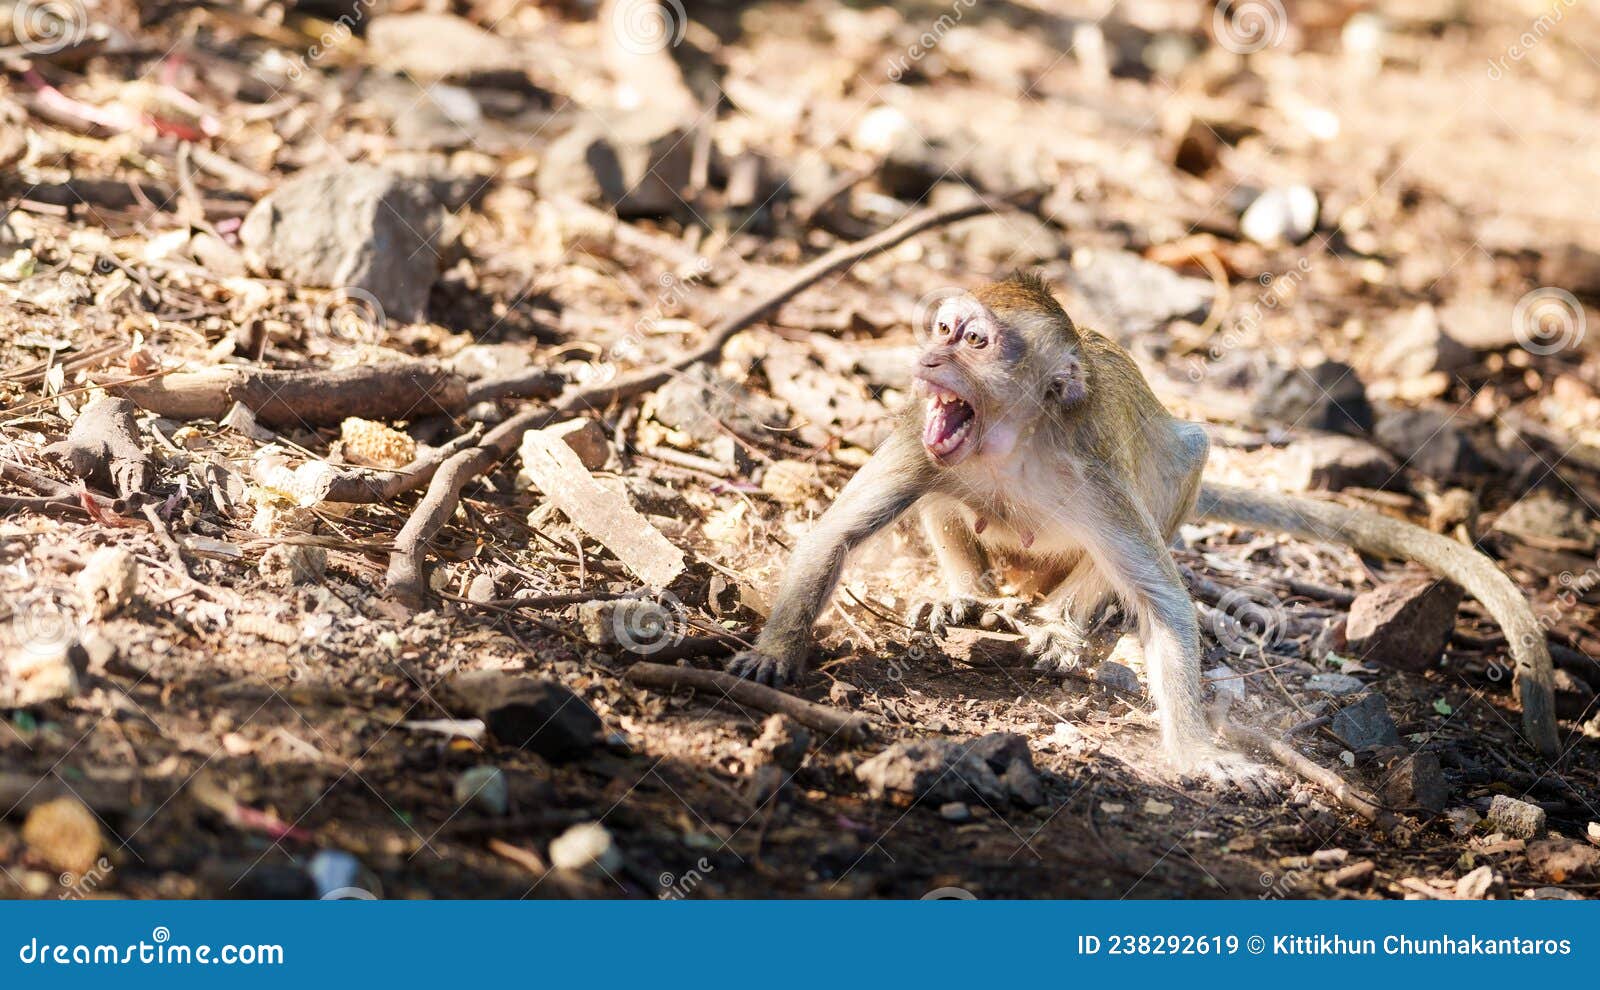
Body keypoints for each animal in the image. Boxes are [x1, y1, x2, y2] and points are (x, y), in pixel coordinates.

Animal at [727, 272, 1559, 790]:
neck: (1012, 442)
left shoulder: (1091, 470)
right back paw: (968, 593)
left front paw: (1194, 751)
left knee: (1179, 458)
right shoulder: (918, 436)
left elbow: (1164, 601)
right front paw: (776, 651)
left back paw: (1067, 624)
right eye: (942, 330)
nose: (929, 357)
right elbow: (835, 535)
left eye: (976, 341)